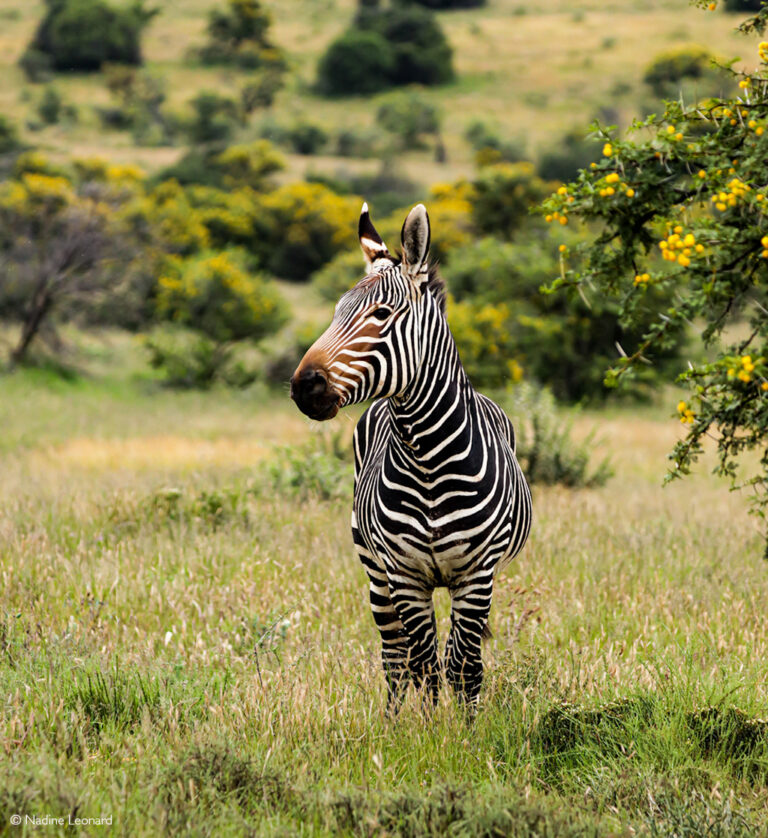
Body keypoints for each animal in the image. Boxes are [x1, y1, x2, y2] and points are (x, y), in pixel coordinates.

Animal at [290, 203, 532, 710]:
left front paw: (466, 729)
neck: (429, 462)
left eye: (381, 314)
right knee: (395, 656)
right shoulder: (403, 574)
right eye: (335, 312)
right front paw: (427, 728)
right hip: (373, 569)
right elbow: (425, 667)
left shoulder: (476, 574)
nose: (304, 387)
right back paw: (392, 719)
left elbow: (464, 667)